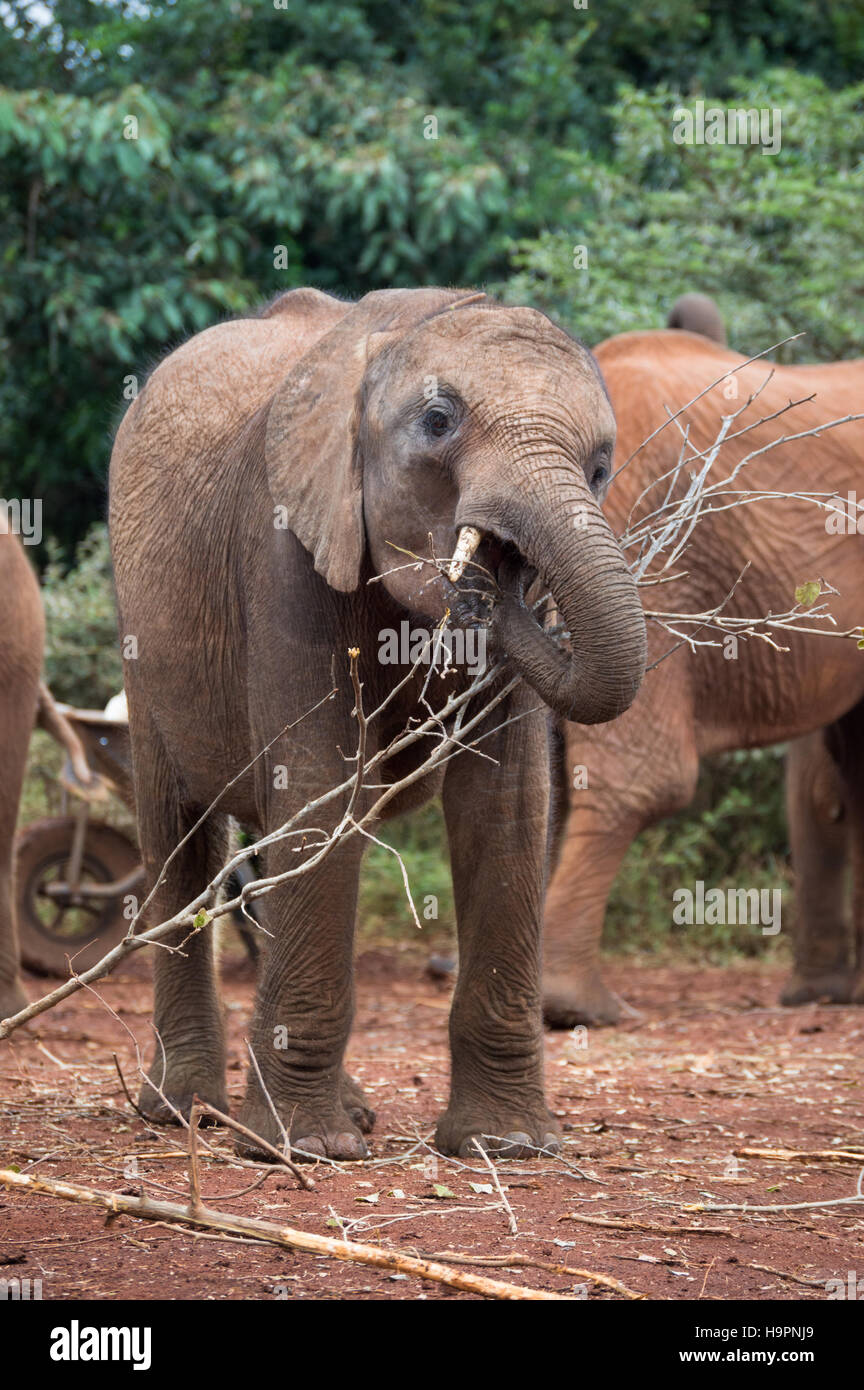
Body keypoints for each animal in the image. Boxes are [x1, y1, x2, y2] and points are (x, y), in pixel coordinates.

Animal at [108, 285, 647, 1160]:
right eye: (437, 421)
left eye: (601, 466)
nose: (493, 573)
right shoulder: (284, 544)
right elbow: (316, 781)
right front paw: (303, 1152)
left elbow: (507, 801)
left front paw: (506, 1146)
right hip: (140, 635)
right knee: (180, 833)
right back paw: (185, 1111)